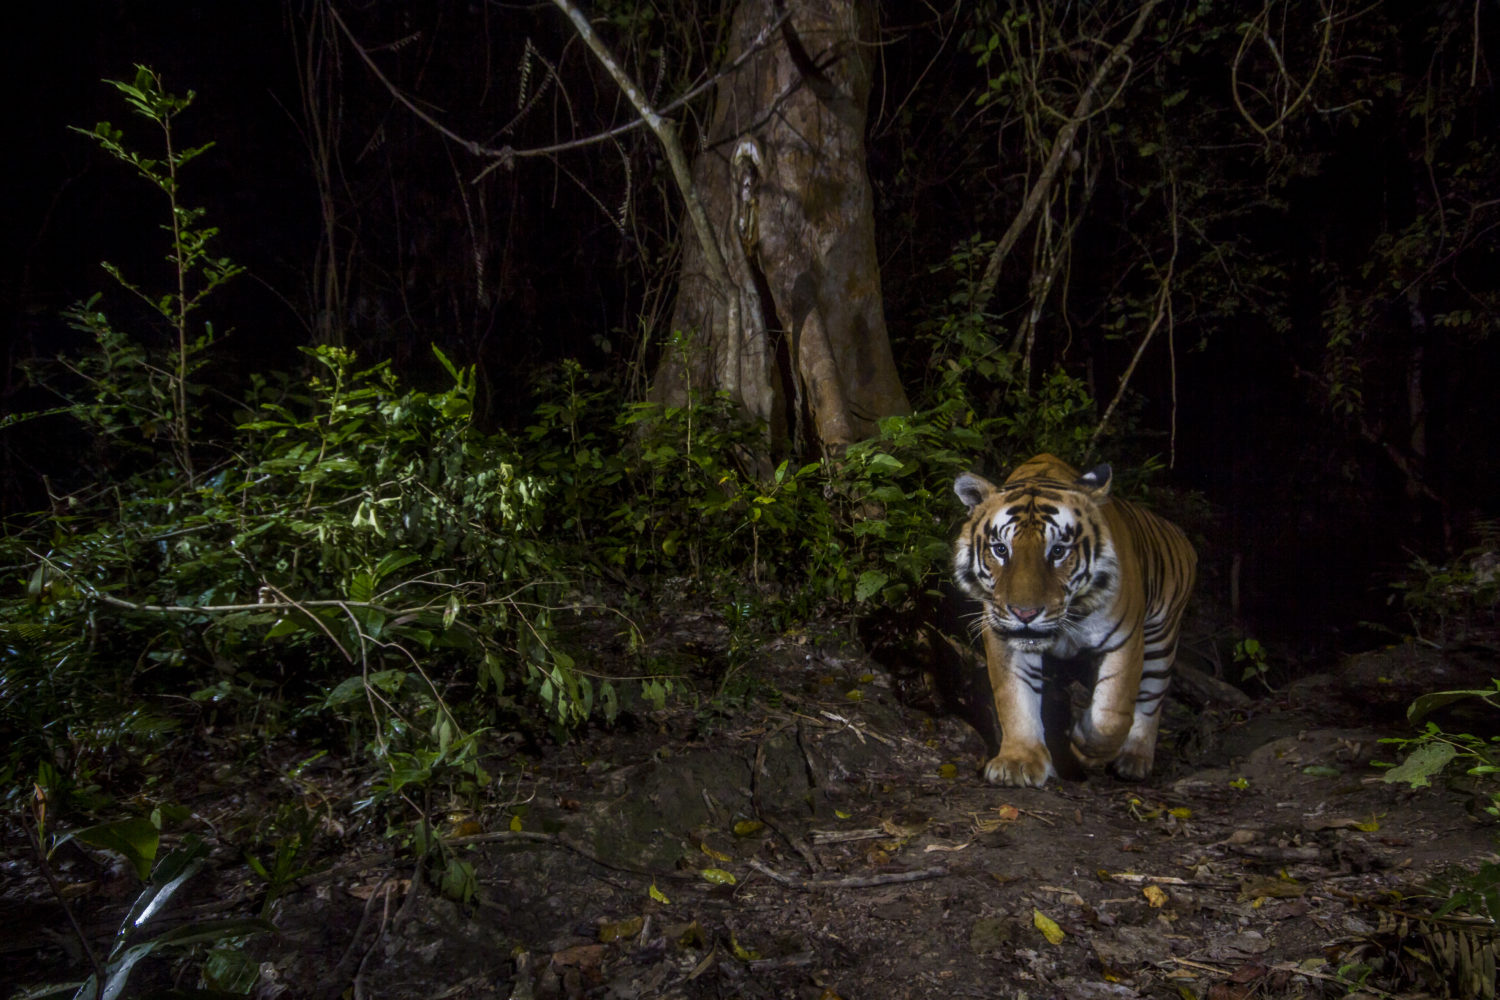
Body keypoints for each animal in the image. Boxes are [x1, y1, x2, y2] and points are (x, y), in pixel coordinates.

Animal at [952, 453, 1196, 787]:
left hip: (1161, 639)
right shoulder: (1004, 635)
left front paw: (1083, 744)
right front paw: (1019, 762)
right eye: (1001, 549)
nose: (1024, 613)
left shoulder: (1126, 640)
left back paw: (1134, 760)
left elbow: (1112, 714)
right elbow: (1015, 697)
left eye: (1058, 551)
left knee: (1151, 699)